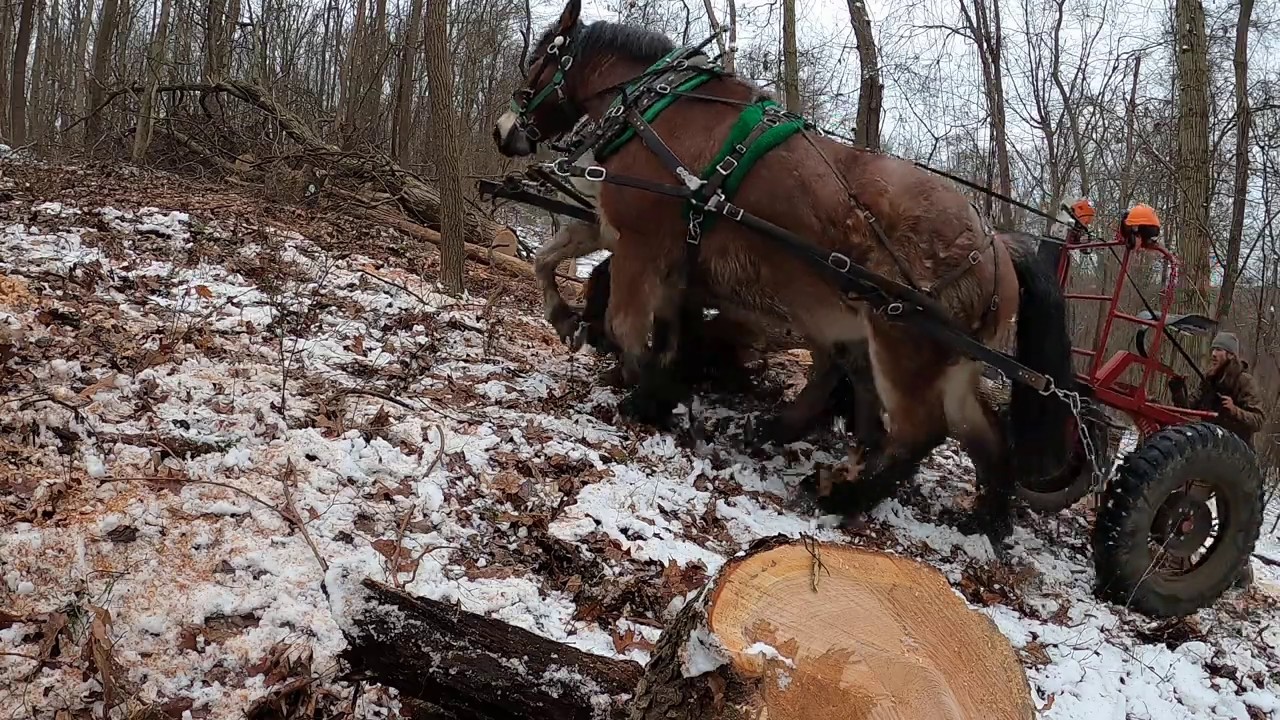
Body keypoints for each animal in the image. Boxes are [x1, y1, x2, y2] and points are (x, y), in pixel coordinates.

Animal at [493, 0, 1076, 546]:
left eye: (538, 60)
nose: (504, 132)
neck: (655, 108)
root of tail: (996, 244)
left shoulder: (641, 244)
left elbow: (628, 326)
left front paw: (644, 396)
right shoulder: (634, 239)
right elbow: (555, 262)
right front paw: (578, 327)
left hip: (901, 342)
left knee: (918, 432)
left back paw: (841, 495)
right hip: (944, 360)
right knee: (982, 434)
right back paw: (984, 520)